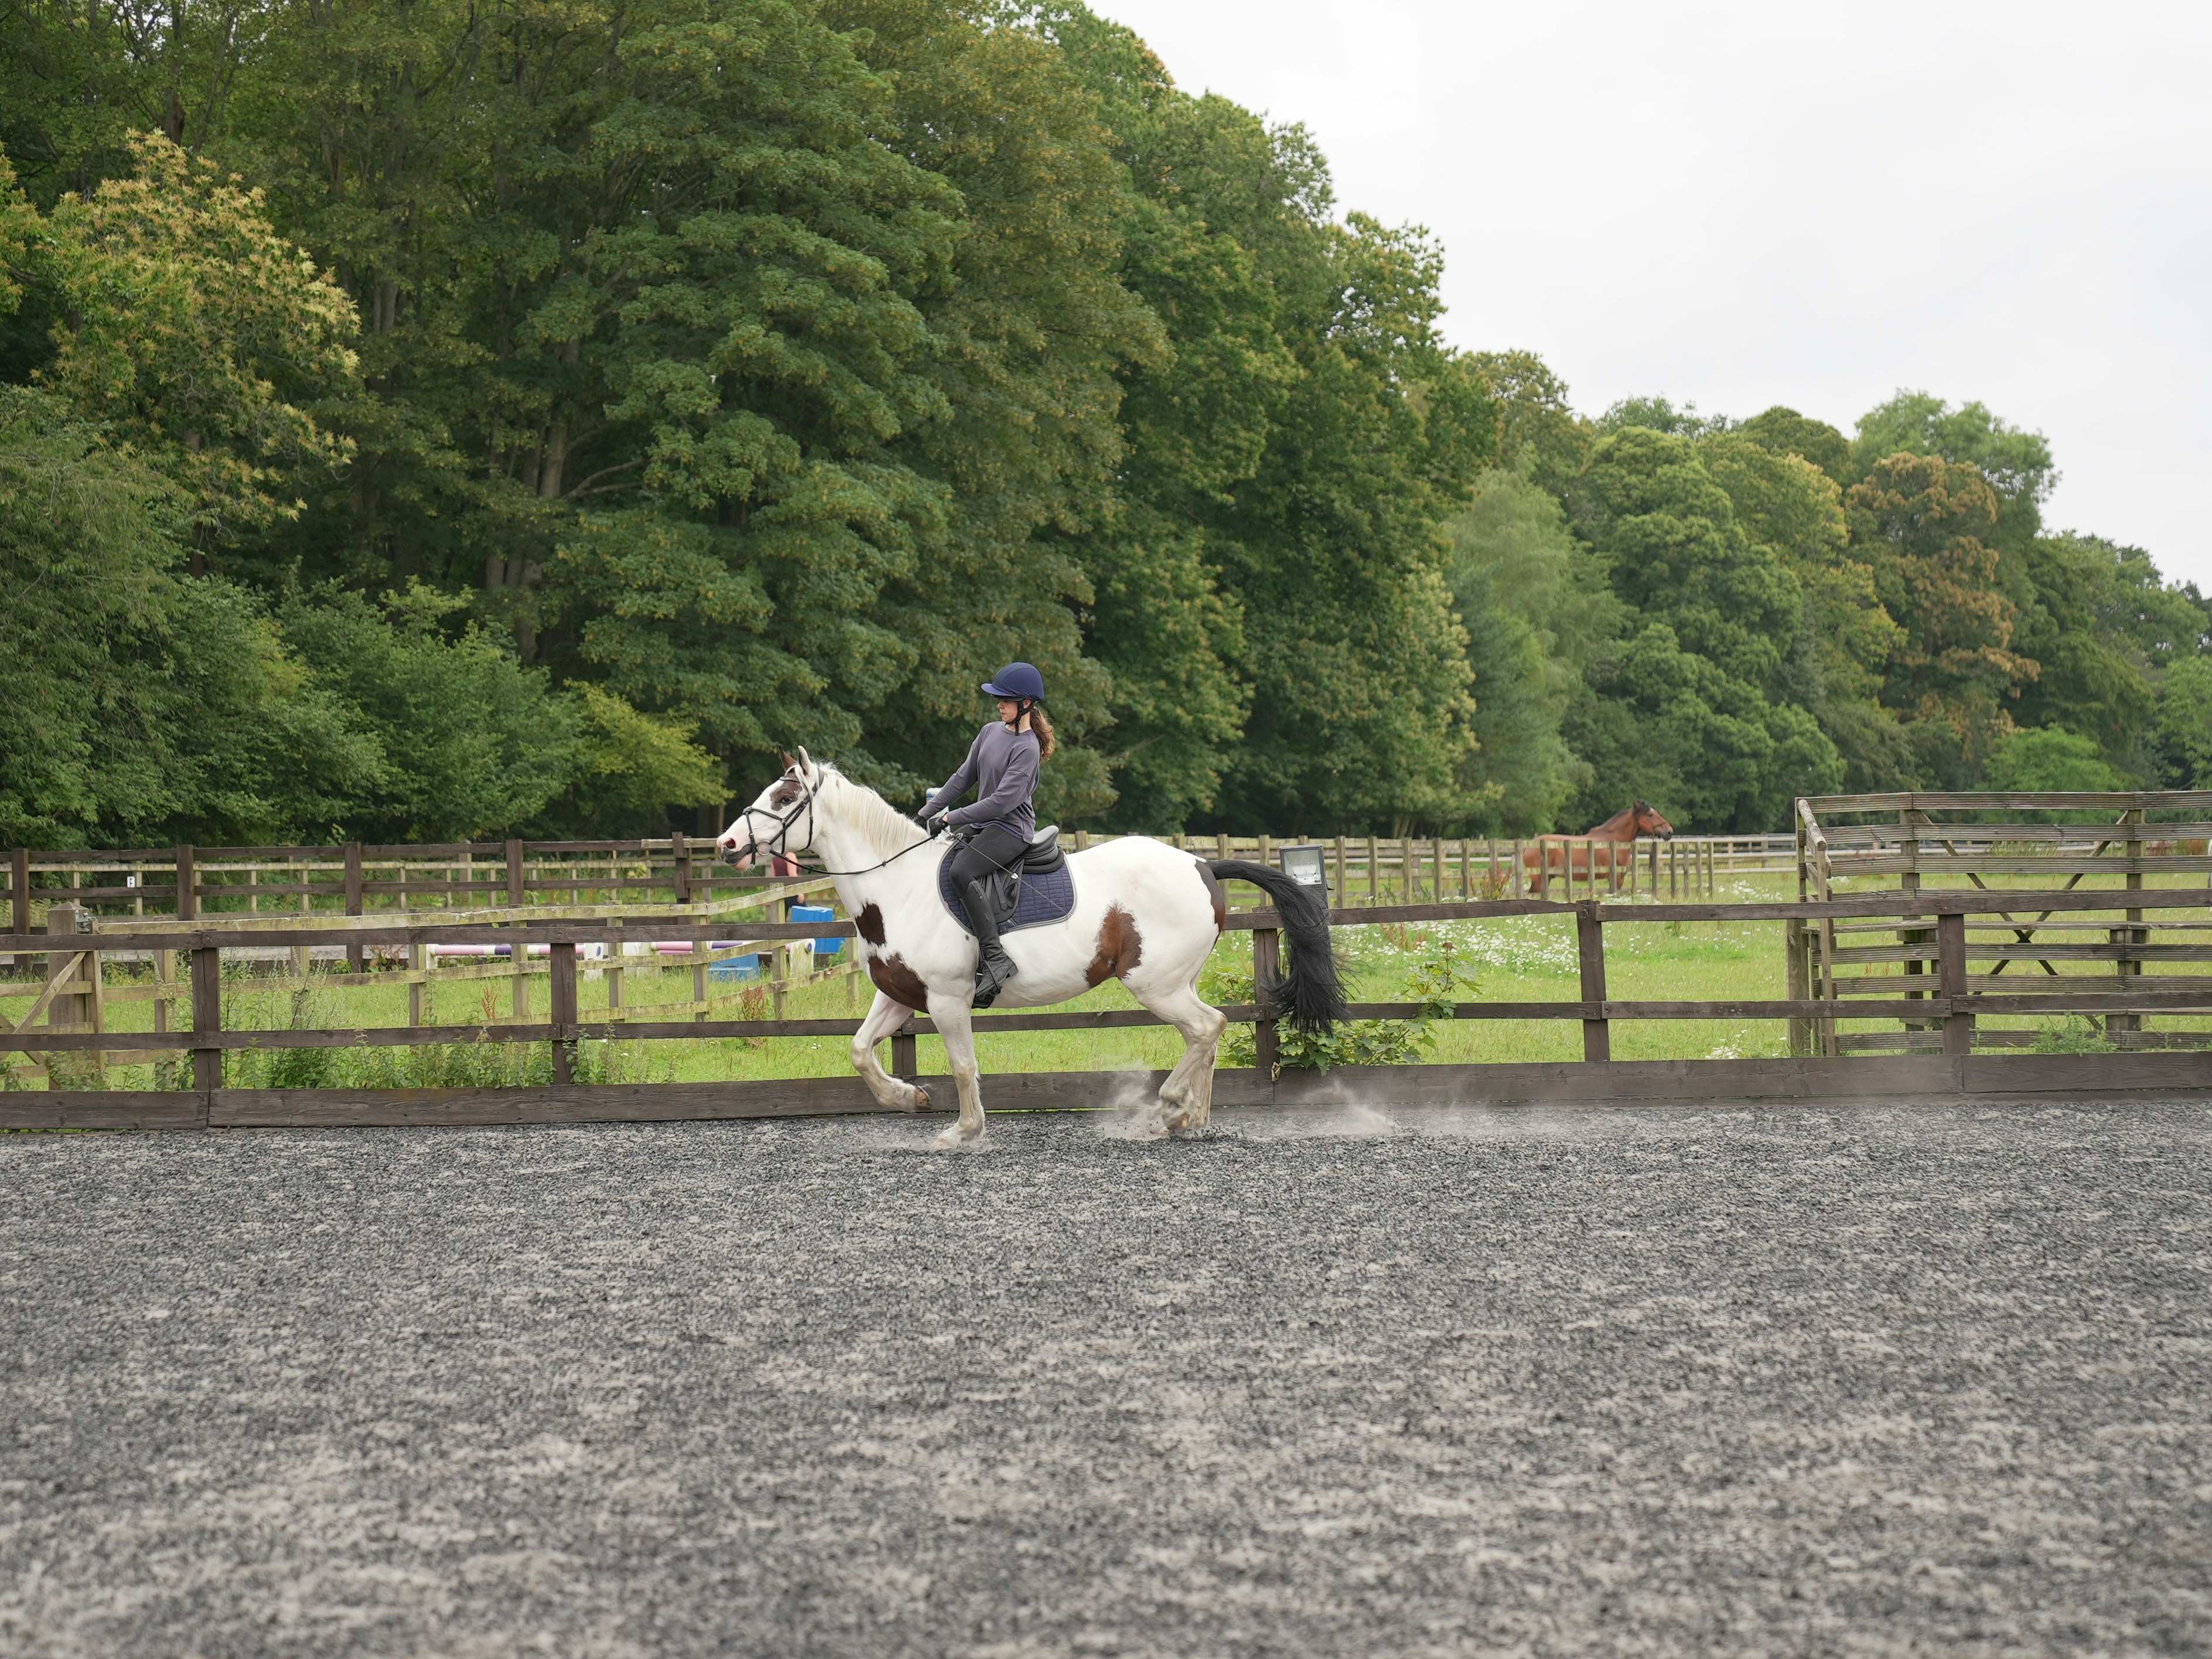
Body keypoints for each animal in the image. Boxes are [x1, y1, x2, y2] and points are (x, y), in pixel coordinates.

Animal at [718, 752, 1344, 1147]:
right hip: (1174, 981)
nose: (726, 845)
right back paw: (1192, 1118)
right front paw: (908, 1099)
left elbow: (964, 1066)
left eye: (786, 796)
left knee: (1208, 1027)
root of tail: (1201, 865)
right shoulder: (898, 998)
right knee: (1204, 1035)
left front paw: (963, 1131)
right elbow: (859, 1052)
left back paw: (1170, 1107)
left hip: (1155, 984)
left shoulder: (947, 1001)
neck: (897, 888)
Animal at [1524, 800, 1675, 892]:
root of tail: (1529, 845)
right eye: (1650, 815)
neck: (1615, 840)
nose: (1669, 832)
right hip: (1539, 880)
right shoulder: (1616, 877)